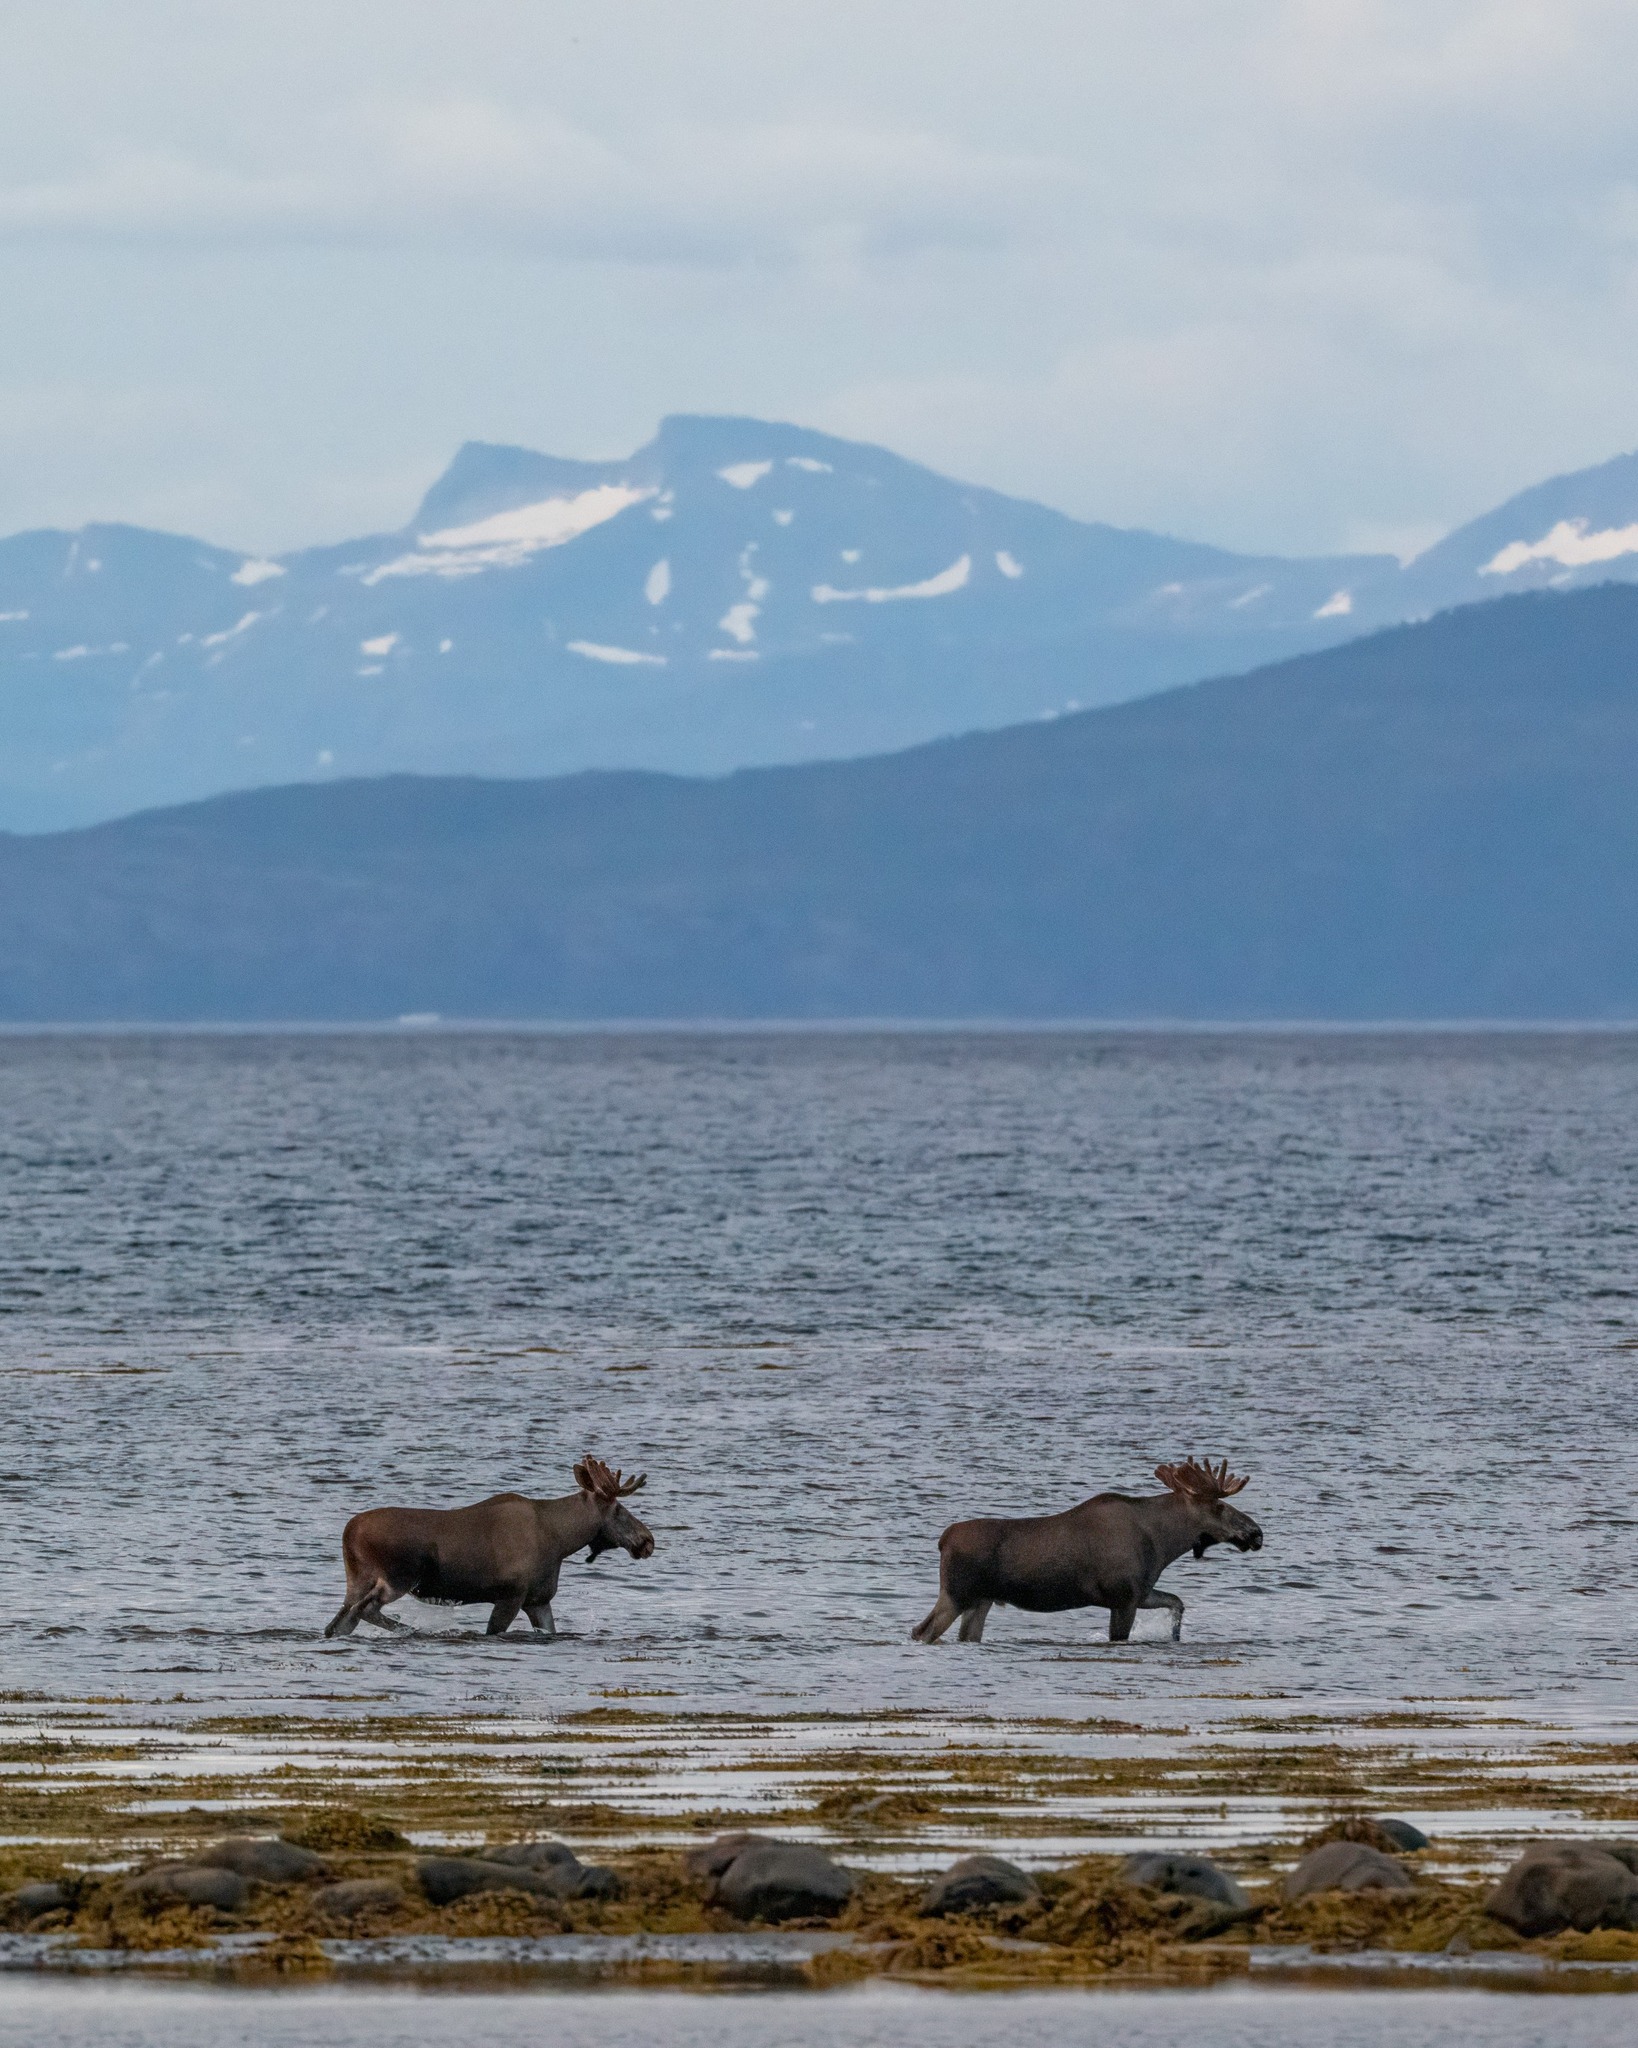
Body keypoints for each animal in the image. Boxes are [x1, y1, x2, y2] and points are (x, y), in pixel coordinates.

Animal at [322, 1456, 654, 1639]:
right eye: (619, 1510)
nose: (648, 1541)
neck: (561, 1541)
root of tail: (348, 1532)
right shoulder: (510, 1594)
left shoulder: (538, 1600)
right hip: (397, 1577)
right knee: (364, 1610)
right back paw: (411, 1630)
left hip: (357, 1581)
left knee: (339, 1623)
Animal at [911, 1456, 1262, 1646]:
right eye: (1219, 1505)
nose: (1256, 1533)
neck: (1163, 1544)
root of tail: (942, 1540)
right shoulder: (1123, 1597)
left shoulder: (1140, 1592)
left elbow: (1177, 1602)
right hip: (956, 1593)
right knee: (921, 1630)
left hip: (980, 1600)